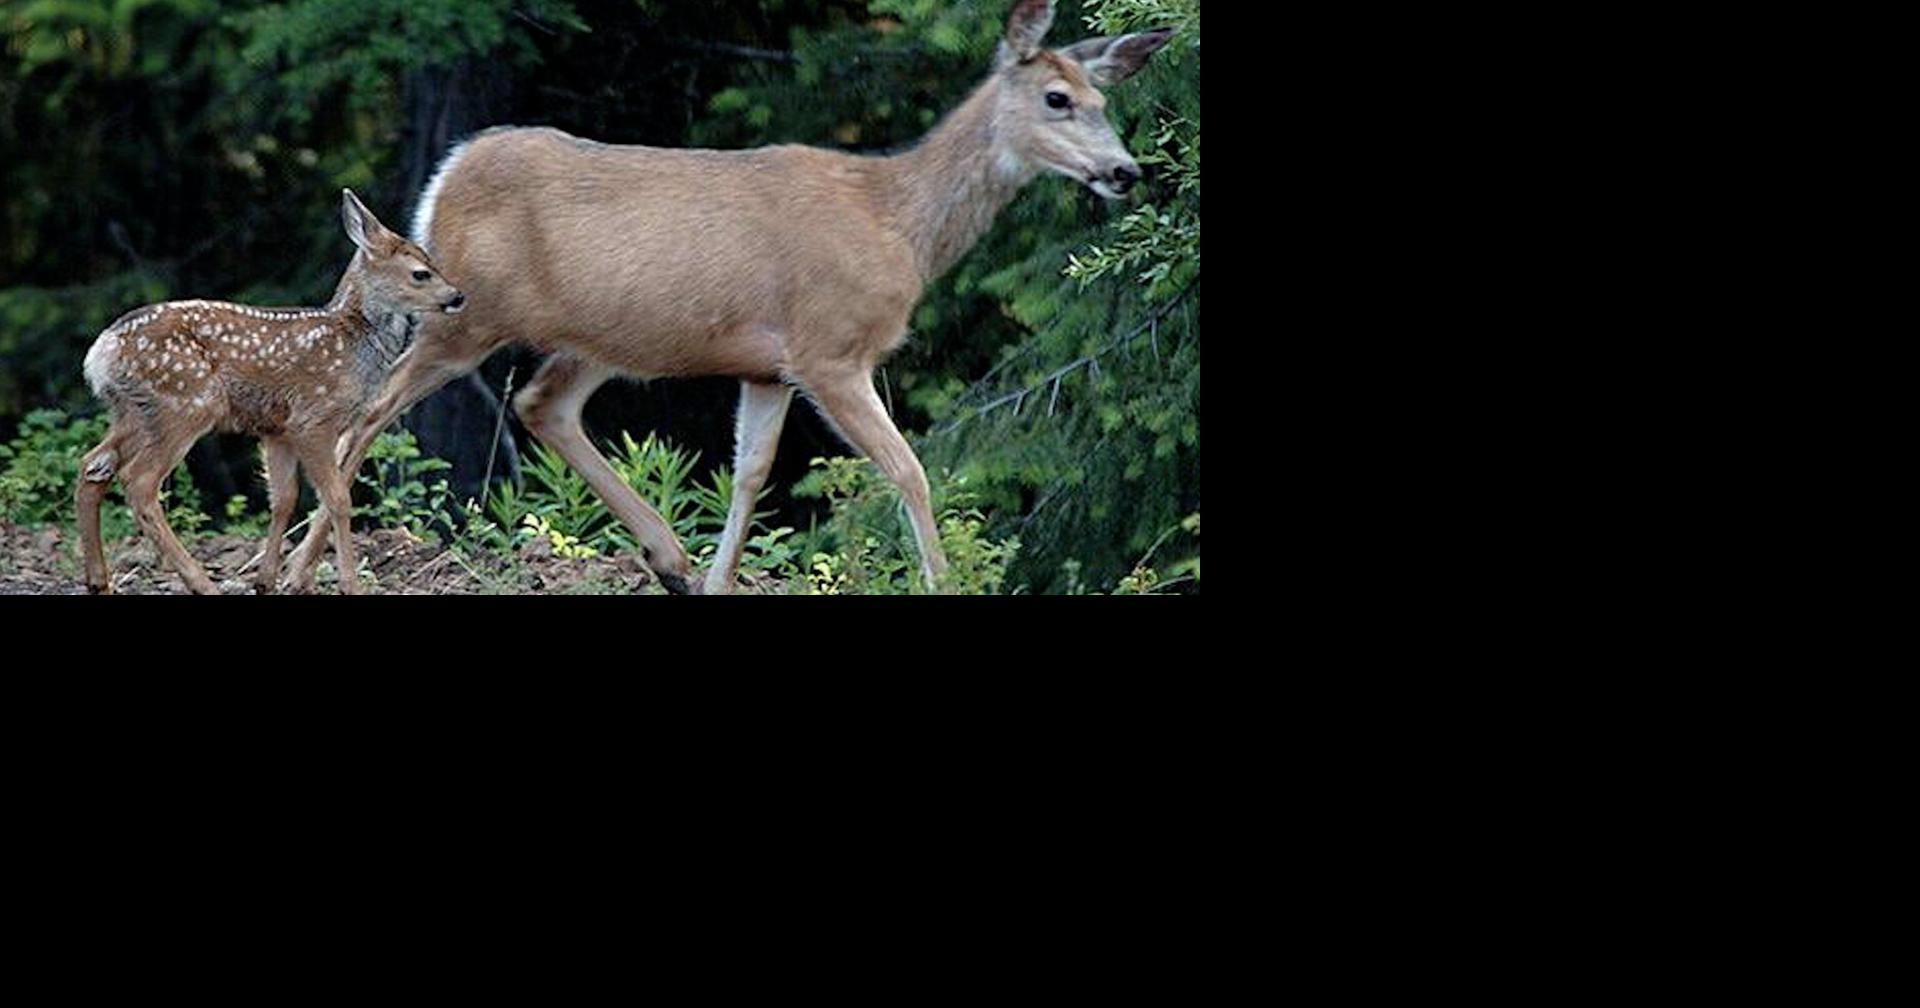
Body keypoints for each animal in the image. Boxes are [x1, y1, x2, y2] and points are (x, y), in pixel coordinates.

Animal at [74, 190, 466, 595]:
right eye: (420, 273)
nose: (457, 296)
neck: (353, 342)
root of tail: (102, 350)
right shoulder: (312, 419)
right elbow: (338, 499)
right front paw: (349, 584)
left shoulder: (277, 431)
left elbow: (283, 500)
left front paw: (265, 580)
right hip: (184, 405)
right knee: (138, 483)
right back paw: (201, 582)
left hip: (132, 412)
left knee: (92, 466)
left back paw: (99, 580)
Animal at [281, 0, 1174, 595]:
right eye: (1057, 99)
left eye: (1104, 101)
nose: (1125, 171)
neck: (898, 222)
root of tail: (444, 177)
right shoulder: (829, 348)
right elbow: (911, 470)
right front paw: (940, 580)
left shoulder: (766, 368)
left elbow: (751, 474)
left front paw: (716, 579)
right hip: (463, 315)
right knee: (364, 417)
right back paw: (297, 569)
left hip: (592, 337)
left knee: (540, 404)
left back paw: (669, 560)